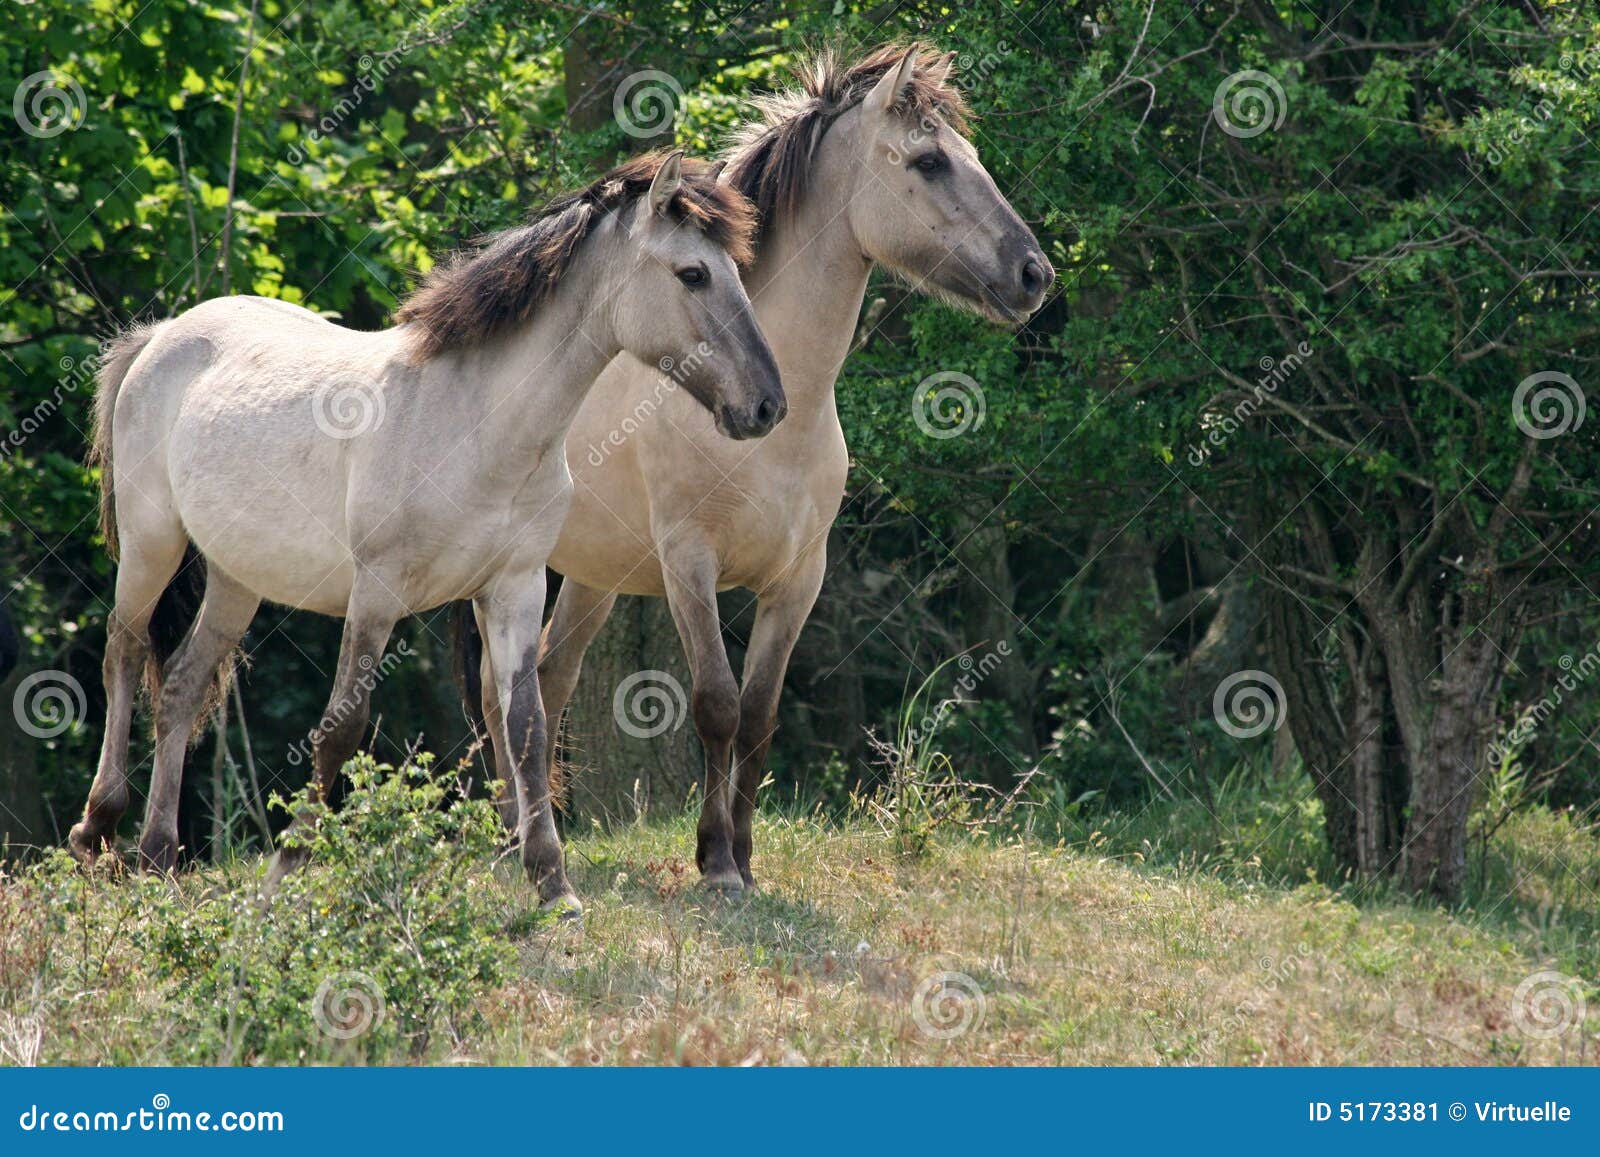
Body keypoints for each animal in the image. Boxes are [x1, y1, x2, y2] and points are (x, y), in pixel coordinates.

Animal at [70, 151, 785, 915]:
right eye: (693, 273)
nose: (767, 405)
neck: (476, 420)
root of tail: (160, 336)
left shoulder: (515, 589)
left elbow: (528, 731)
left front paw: (552, 883)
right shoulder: (377, 593)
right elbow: (341, 729)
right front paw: (287, 870)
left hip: (238, 579)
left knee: (179, 686)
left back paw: (157, 856)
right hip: (152, 542)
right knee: (122, 648)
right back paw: (97, 829)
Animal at [456, 44, 1053, 894]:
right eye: (930, 162)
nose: (1034, 275)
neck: (779, 422)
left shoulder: (799, 578)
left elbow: (762, 713)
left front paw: (742, 853)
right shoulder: (690, 565)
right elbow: (716, 703)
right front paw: (714, 865)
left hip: (594, 577)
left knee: (550, 676)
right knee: (498, 690)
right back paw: (514, 842)